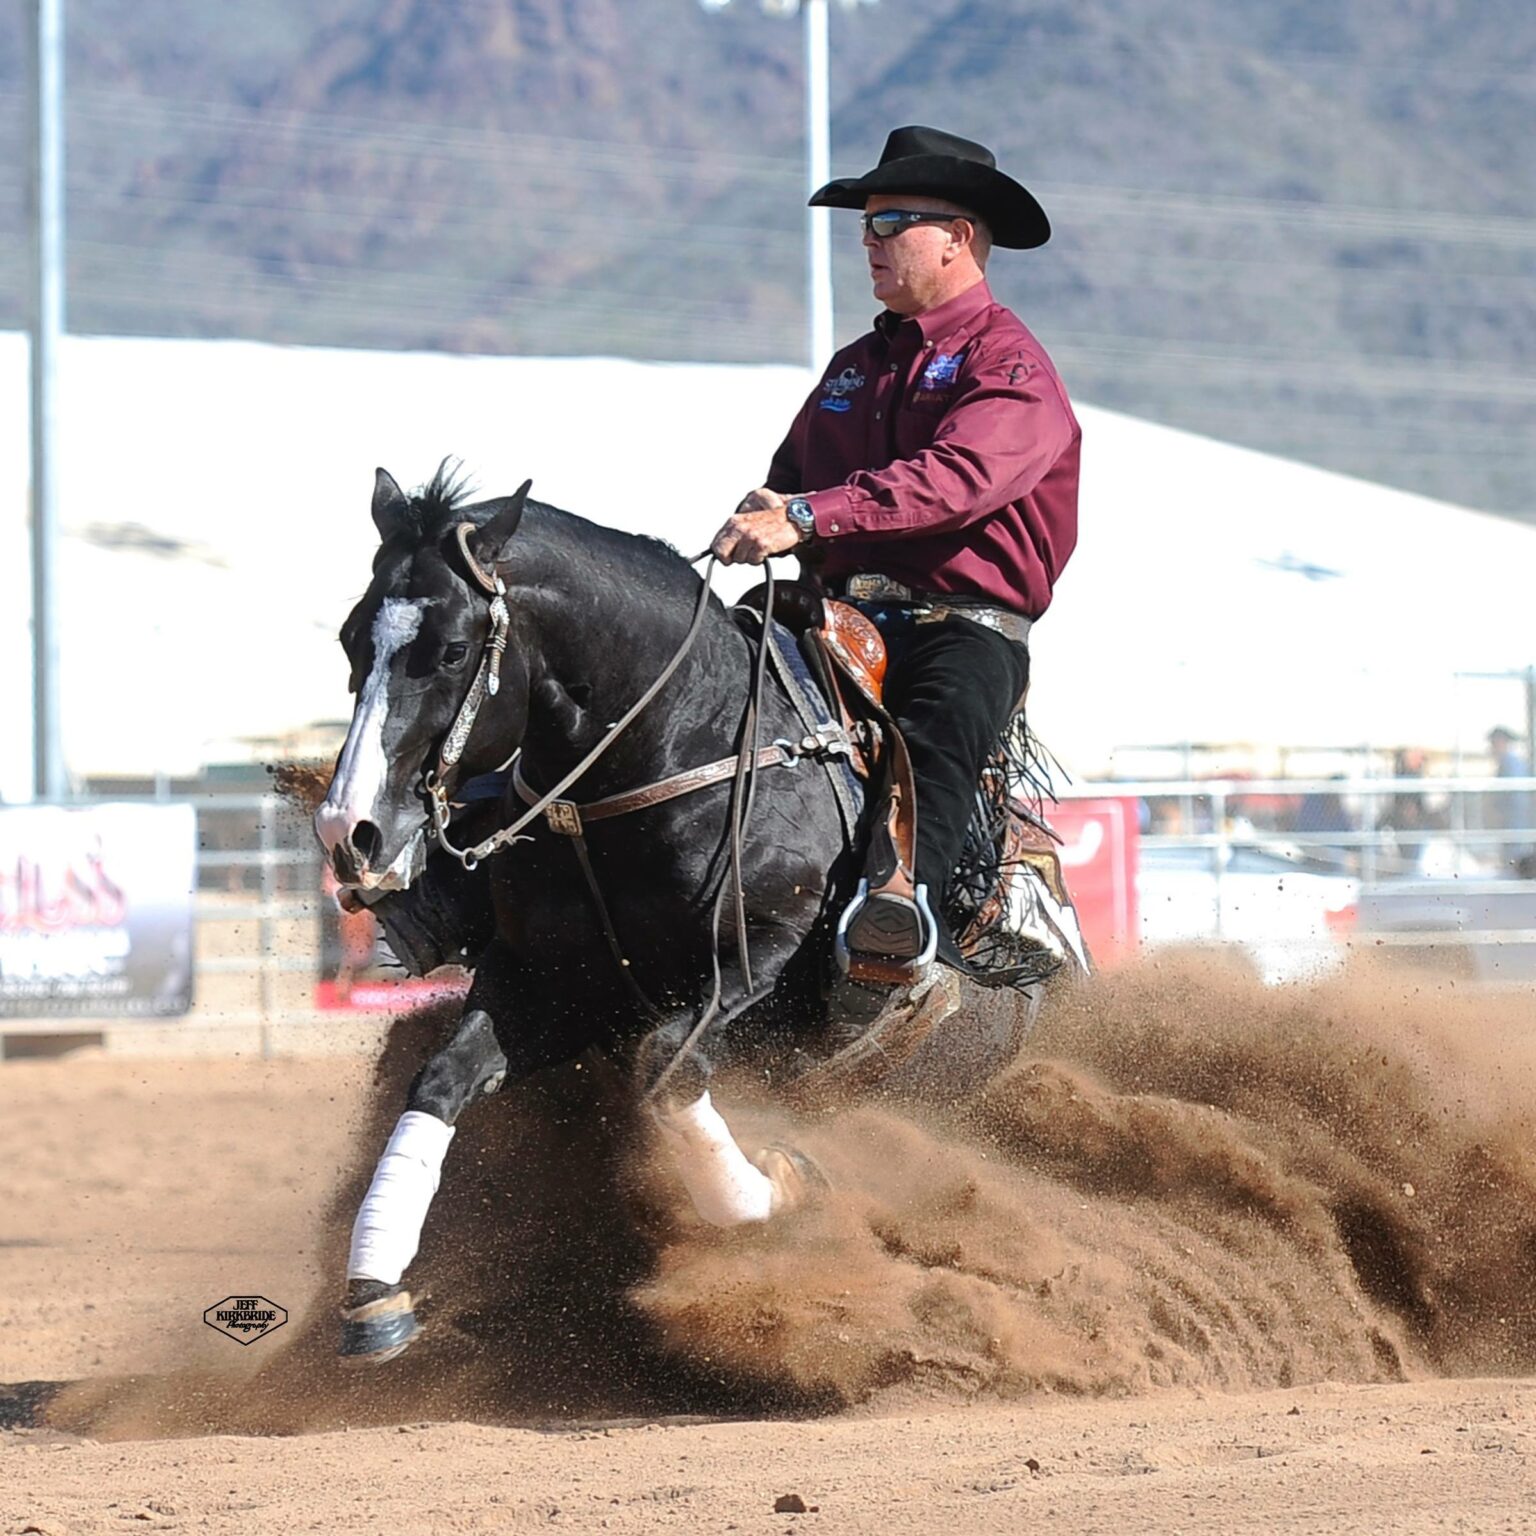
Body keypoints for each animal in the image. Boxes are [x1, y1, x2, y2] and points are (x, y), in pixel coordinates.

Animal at [313, 462, 1062, 1364]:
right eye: (352, 639)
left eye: (453, 649)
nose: (351, 832)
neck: (669, 748)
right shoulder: (541, 978)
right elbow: (443, 1079)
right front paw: (373, 1292)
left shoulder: (757, 955)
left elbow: (666, 1067)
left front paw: (778, 1190)